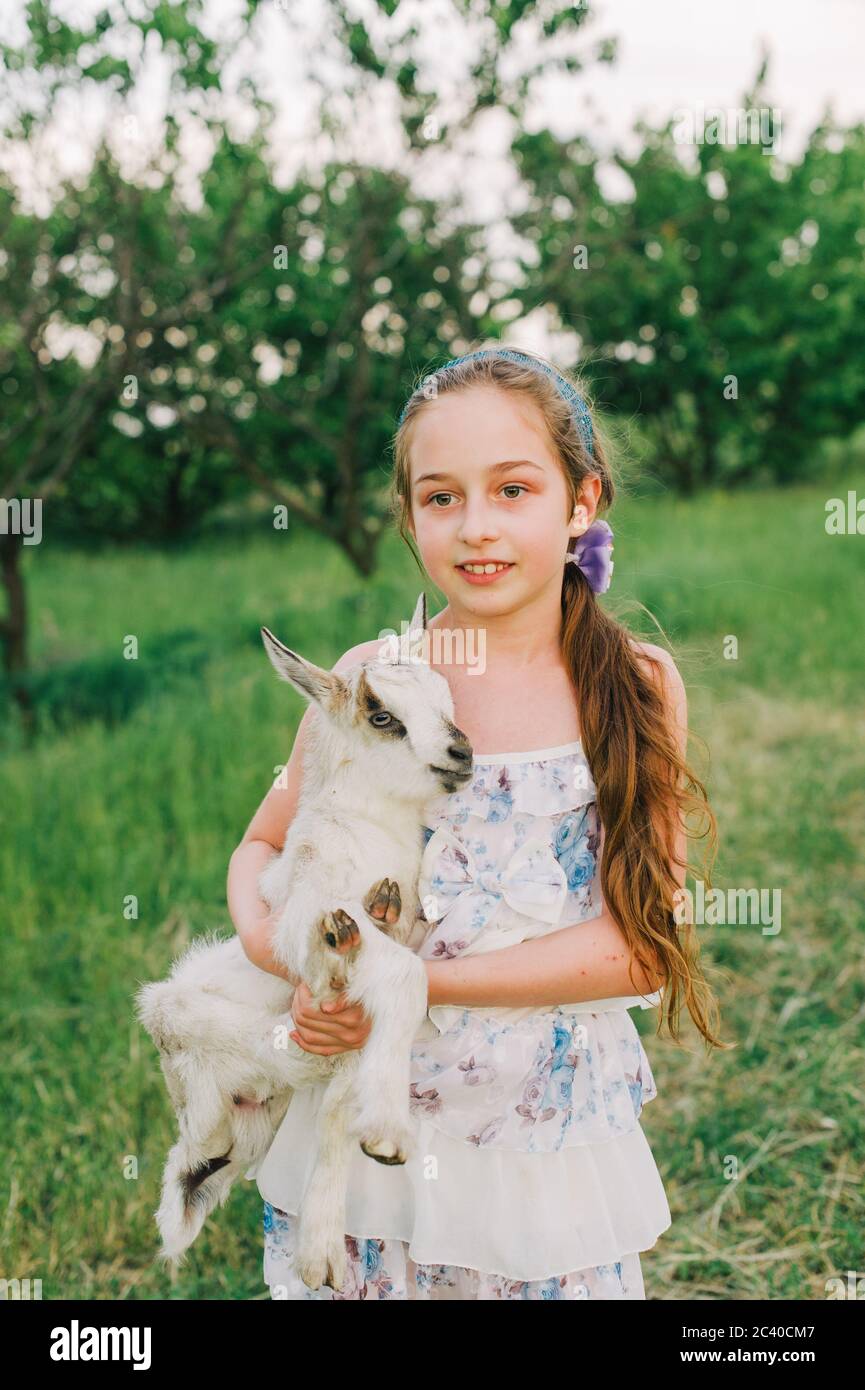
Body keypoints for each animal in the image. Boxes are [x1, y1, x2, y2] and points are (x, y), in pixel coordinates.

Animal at [135, 591, 473, 1291]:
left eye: (445, 697)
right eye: (382, 716)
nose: (463, 755)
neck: (371, 829)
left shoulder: (409, 926)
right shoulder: (303, 915)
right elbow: (405, 978)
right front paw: (391, 1133)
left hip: (251, 1122)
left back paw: (318, 1252)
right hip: (178, 1030)